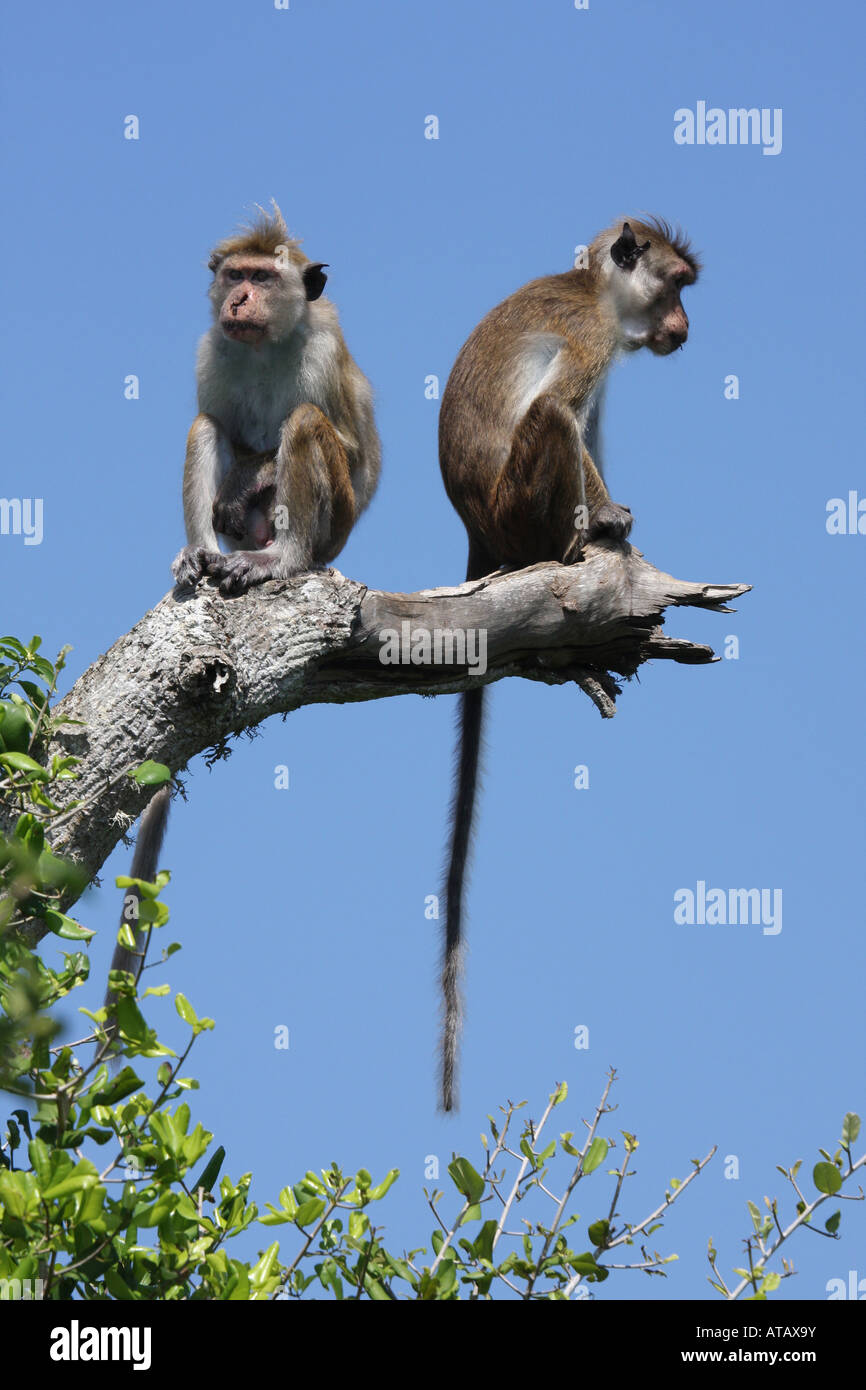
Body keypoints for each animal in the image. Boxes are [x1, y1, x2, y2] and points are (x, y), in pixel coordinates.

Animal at [172, 202, 381, 596]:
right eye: (236, 276)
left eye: (262, 278)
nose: (238, 301)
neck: (263, 347)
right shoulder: (211, 352)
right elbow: (219, 427)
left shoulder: (323, 350)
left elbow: (352, 452)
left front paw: (246, 480)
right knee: (206, 426)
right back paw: (201, 552)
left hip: (330, 530)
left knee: (305, 421)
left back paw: (282, 558)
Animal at [436, 218, 700, 1110]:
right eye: (676, 284)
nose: (685, 325)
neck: (596, 290)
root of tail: (481, 534)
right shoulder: (591, 337)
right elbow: (560, 412)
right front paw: (612, 522)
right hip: (521, 507)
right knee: (552, 426)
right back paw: (579, 544)